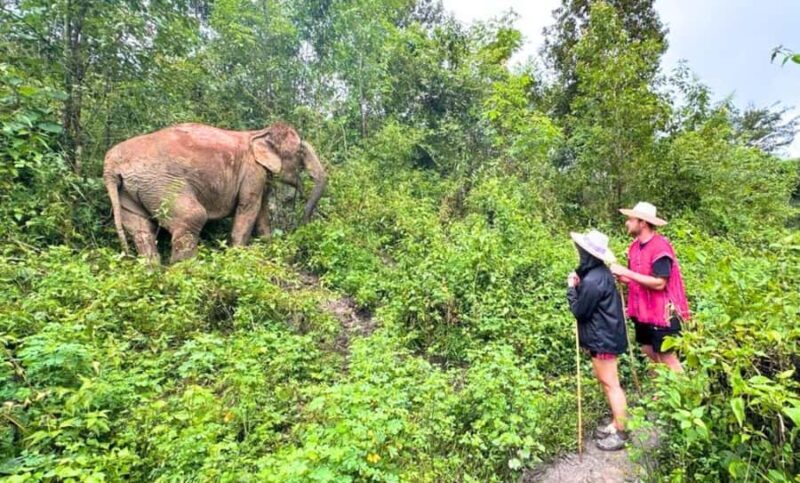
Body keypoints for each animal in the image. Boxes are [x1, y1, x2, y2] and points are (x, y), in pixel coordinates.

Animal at [103, 122, 327, 264]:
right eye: (300, 153)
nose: (303, 227)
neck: (260, 132)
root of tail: (111, 165)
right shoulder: (253, 171)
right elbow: (249, 207)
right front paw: (238, 256)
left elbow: (261, 210)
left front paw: (268, 246)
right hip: (162, 183)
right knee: (192, 217)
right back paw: (187, 272)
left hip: (130, 190)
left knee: (141, 230)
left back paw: (153, 272)